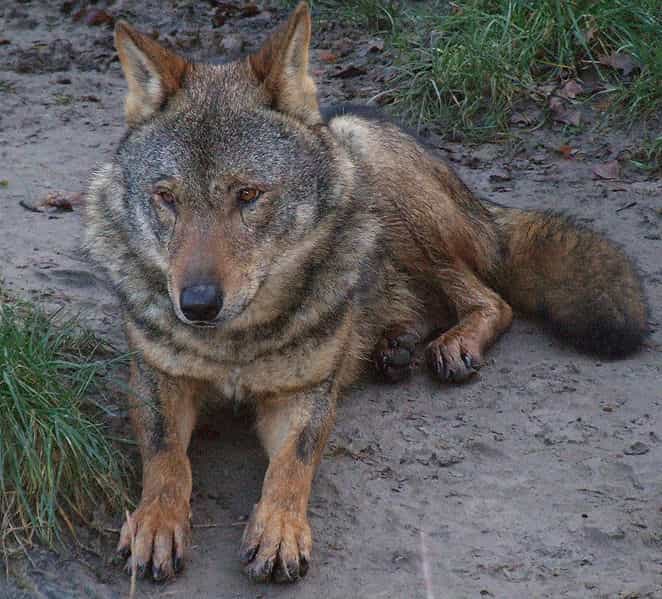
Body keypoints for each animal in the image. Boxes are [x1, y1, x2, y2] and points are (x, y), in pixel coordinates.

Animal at [85, 2, 648, 584]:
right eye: (166, 198)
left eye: (248, 195)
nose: (197, 305)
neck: (237, 343)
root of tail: (478, 201)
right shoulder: (157, 380)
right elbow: (166, 458)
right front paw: (155, 522)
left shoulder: (304, 396)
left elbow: (291, 465)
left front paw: (279, 530)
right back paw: (394, 346)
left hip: (382, 181)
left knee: (491, 298)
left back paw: (451, 344)